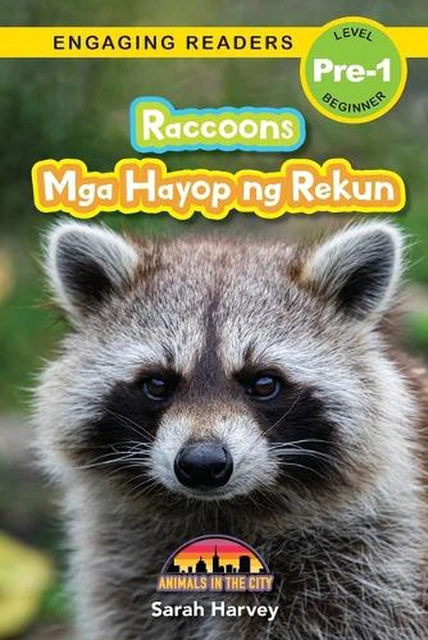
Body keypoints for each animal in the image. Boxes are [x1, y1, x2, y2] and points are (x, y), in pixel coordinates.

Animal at [34, 221, 427, 640]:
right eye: (157, 384)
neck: (218, 513)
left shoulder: (369, 572)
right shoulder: (127, 571)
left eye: (264, 383)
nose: (202, 464)